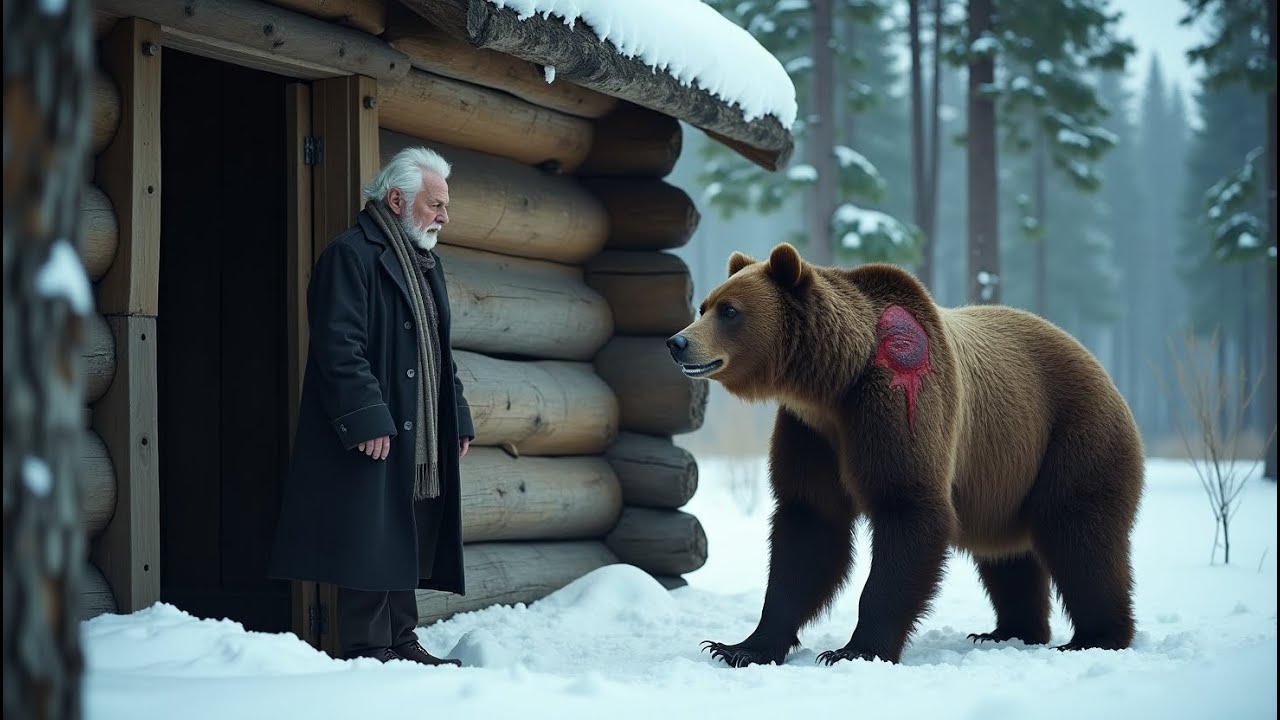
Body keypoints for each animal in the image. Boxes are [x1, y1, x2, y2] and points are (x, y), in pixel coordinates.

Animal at [666, 242, 1145, 667]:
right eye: (703, 306)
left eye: (729, 310)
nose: (677, 342)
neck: (835, 382)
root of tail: (1100, 367)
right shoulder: (811, 433)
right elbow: (808, 526)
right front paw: (739, 647)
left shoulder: (899, 403)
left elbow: (908, 508)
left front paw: (854, 650)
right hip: (1007, 478)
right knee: (1008, 555)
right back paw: (1009, 631)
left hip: (1073, 435)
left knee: (1080, 535)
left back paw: (1095, 637)